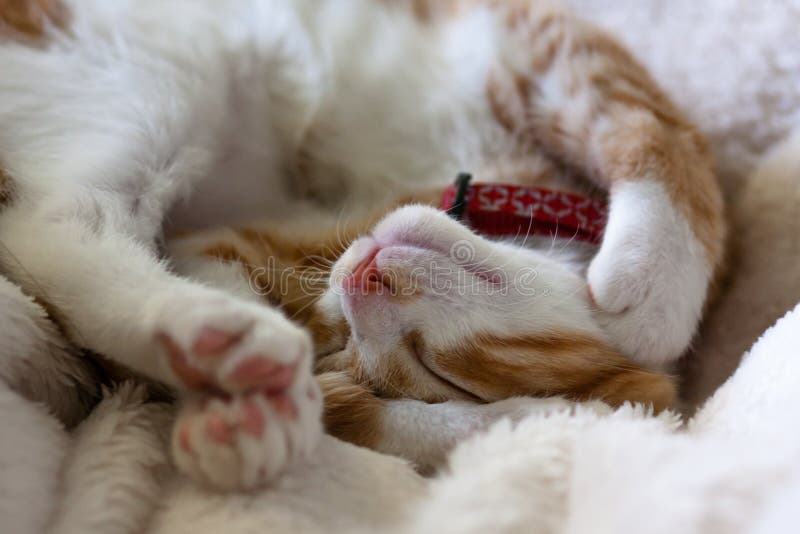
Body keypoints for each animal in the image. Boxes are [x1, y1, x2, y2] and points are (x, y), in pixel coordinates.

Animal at [0, 0, 724, 490]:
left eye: (437, 369)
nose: (360, 282)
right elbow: (649, 120)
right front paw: (655, 300)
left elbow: (648, 123)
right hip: (168, 58)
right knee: (60, 224)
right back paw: (213, 328)